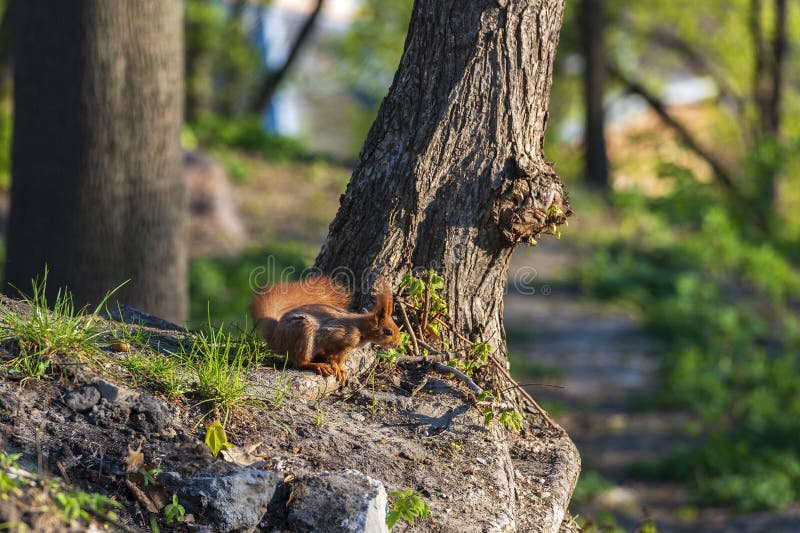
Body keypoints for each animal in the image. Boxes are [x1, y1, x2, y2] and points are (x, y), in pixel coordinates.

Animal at [250, 276, 401, 384]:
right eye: (388, 332)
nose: (398, 344)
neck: (361, 328)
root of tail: (276, 338)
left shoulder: (346, 349)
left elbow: (340, 359)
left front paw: (341, 368)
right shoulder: (336, 337)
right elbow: (333, 356)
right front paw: (335, 367)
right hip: (303, 332)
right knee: (300, 362)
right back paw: (318, 365)